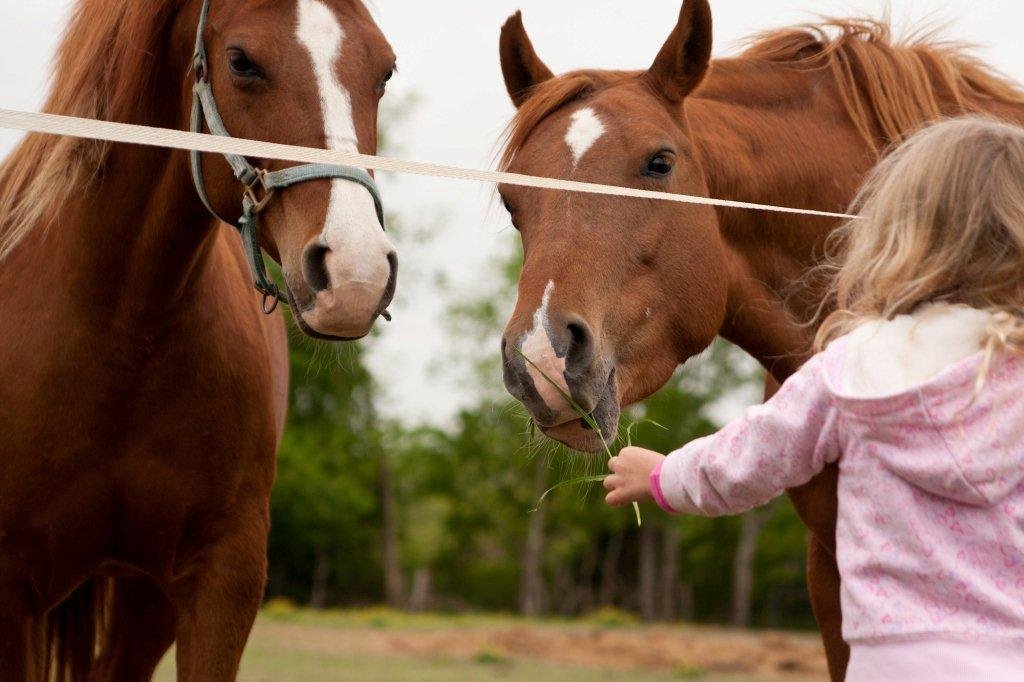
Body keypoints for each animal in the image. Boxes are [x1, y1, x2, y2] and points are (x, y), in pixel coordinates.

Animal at [0, 0, 398, 679]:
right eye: (241, 62)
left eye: (385, 71)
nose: (356, 275)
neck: (122, 333)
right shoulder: (11, 588)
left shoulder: (221, 577)